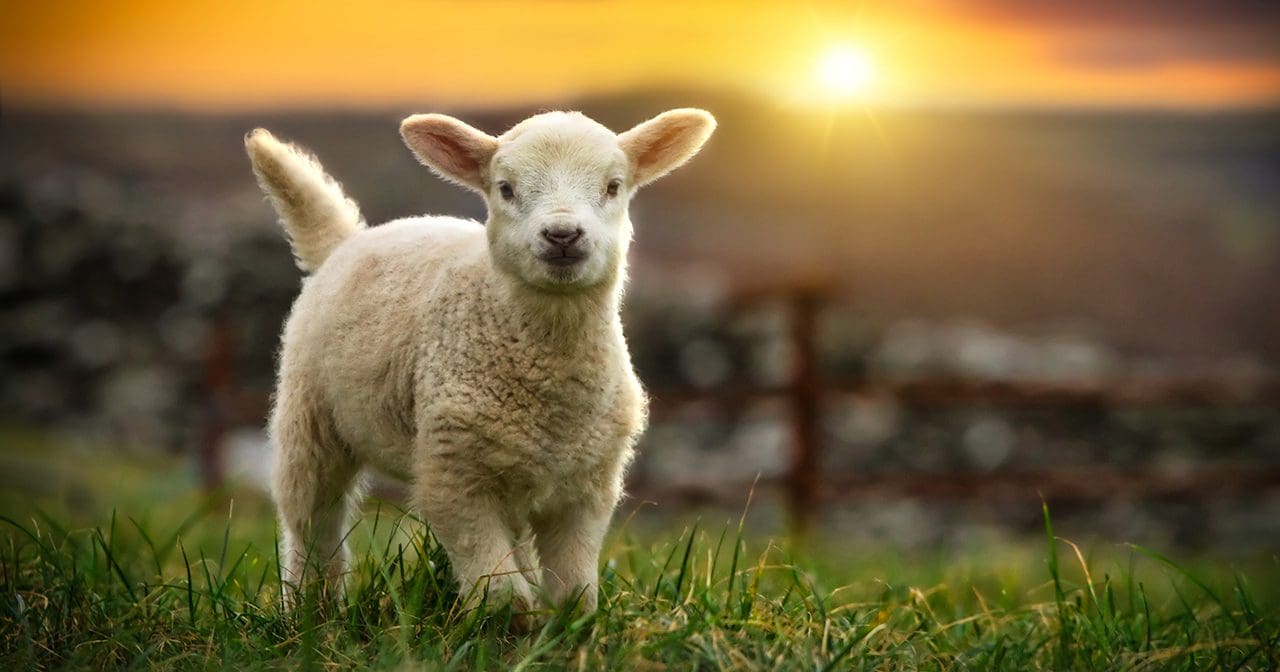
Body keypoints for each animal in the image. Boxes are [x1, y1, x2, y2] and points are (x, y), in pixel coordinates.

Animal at [244, 108, 716, 619]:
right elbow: (499, 592)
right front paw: (508, 624)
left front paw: (563, 625)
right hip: (309, 416)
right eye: (505, 188)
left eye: (613, 186)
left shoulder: (587, 487)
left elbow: (573, 590)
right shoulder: (453, 473)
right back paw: (311, 609)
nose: (563, 235)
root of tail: (348, 241)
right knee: (311, 518)